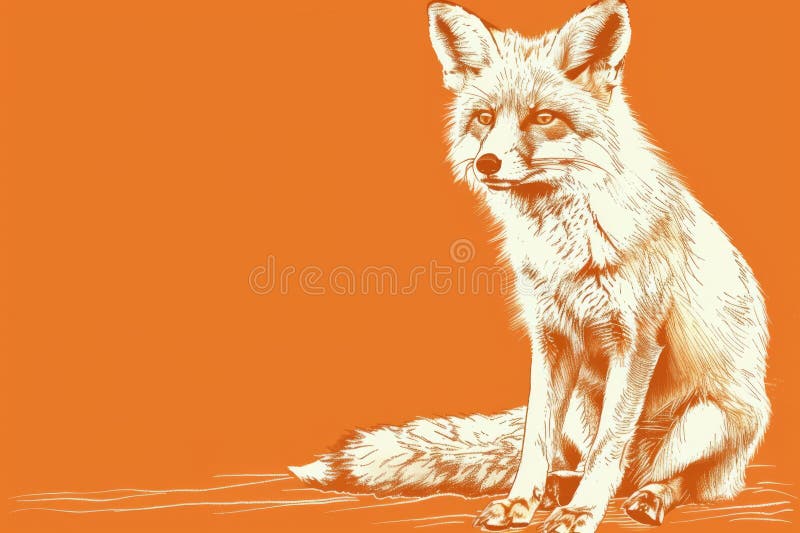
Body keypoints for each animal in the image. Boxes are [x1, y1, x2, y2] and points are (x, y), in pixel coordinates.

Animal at [288, 1, 770, 531]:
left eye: (543, 117)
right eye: (484, 117)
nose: (487, 163)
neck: (566, 245)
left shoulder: (638, 342)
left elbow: (609, 449)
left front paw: (582, 511)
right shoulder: (551, 339)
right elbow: (536, 441)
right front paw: (521, 502)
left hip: (707, 421)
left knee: (684, 481)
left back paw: (648, 498)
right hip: (583, 404)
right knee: (611, 467)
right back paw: (567, 486)